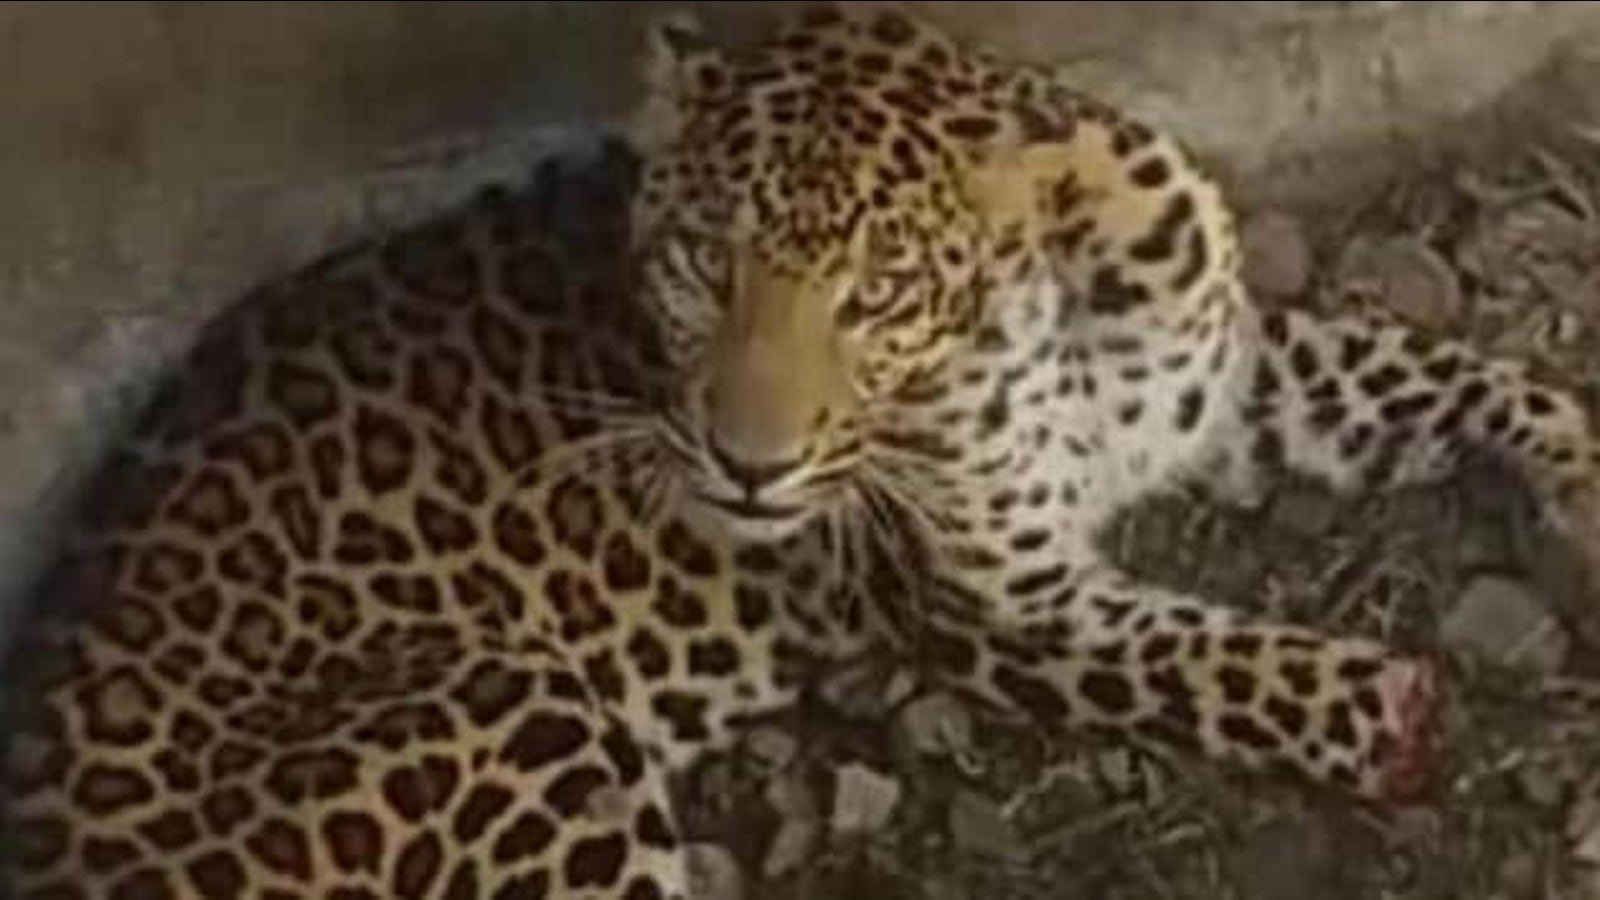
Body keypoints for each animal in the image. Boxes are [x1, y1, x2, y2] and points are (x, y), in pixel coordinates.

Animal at [7, 4, 1600, 898]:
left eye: (873, 292)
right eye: (702, 265)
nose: (747, 468)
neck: (1056, 303)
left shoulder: (1223, 386)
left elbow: (1453, 374)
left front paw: (1575, 494)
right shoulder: (998, 609)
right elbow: (1218, 660)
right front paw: (1387, 711)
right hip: (504, 704)